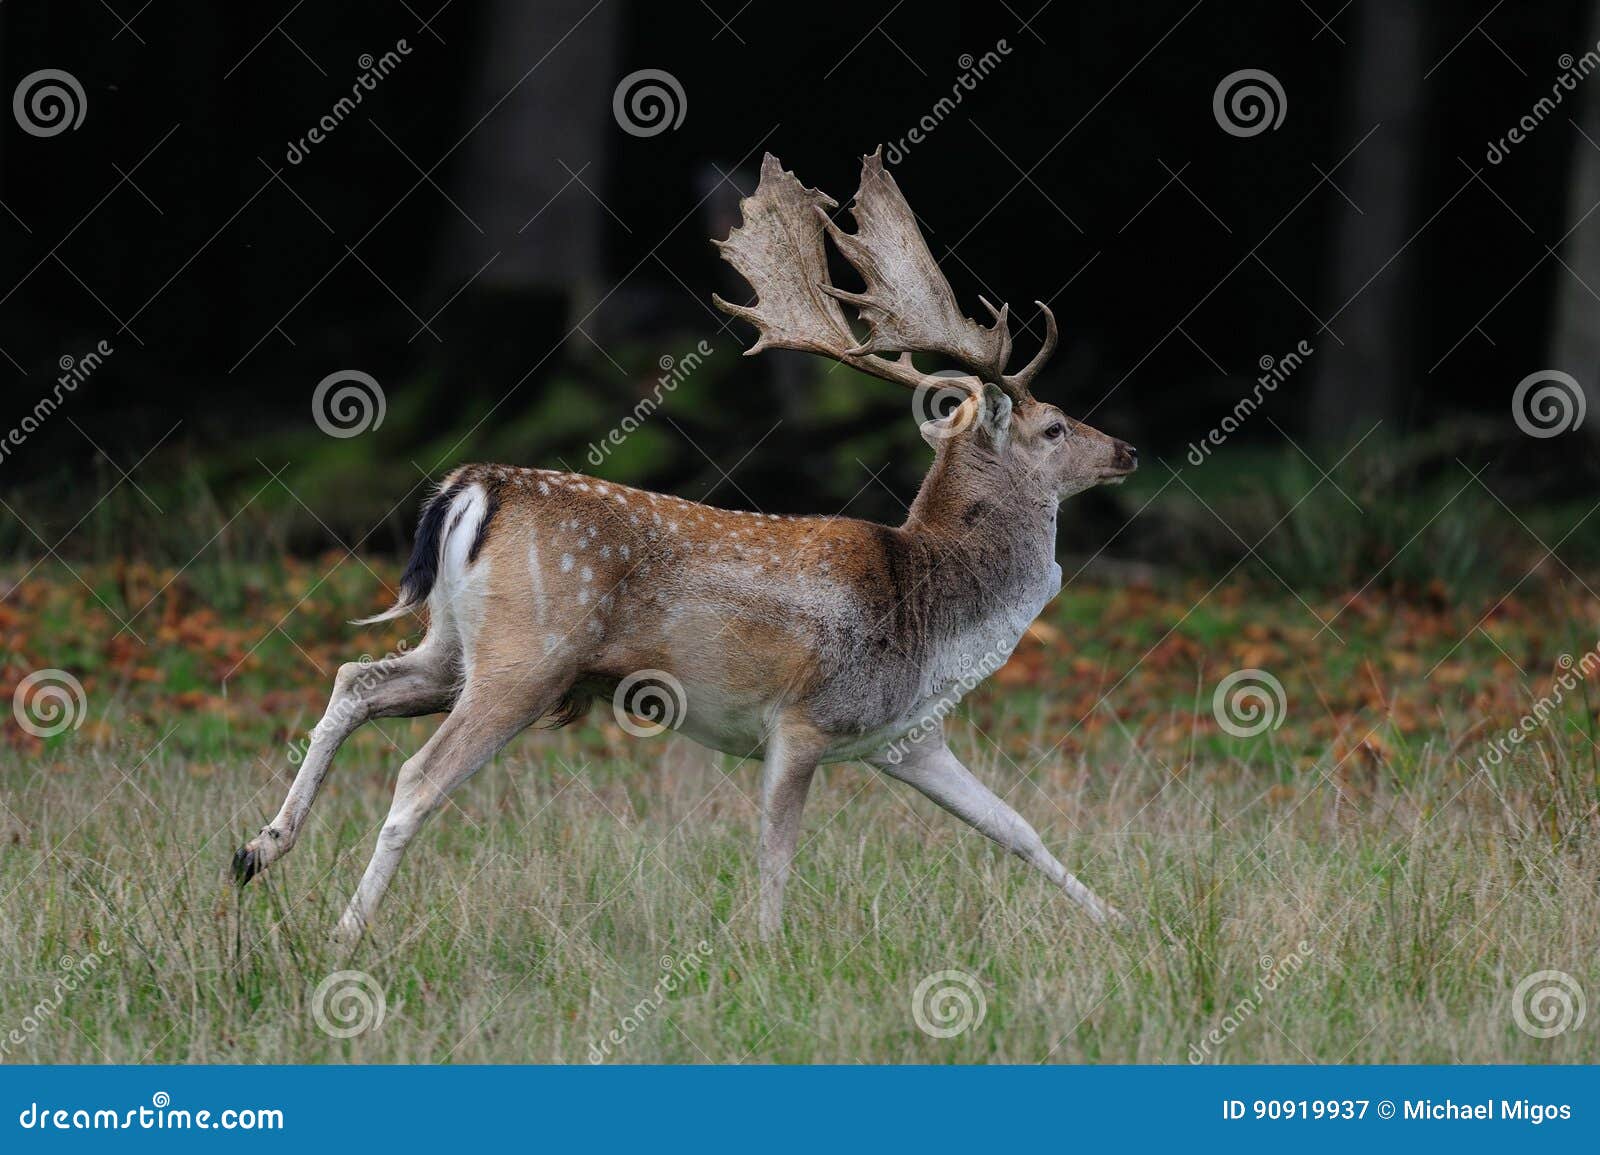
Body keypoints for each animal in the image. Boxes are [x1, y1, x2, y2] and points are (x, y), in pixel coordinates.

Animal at [233, 149, 1138, 944]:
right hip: (528, 655)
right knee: (417, 775)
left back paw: (257, 848)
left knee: (356, 678)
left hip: (457, 643)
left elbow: (1016, 827)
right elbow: (776, 853)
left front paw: (1122, 923)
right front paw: (766, 953)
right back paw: (344, 933)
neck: (936, 611)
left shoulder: (907, 736)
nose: (1126, 449)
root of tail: (474, 484)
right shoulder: (805, 716)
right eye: (1054, 427)